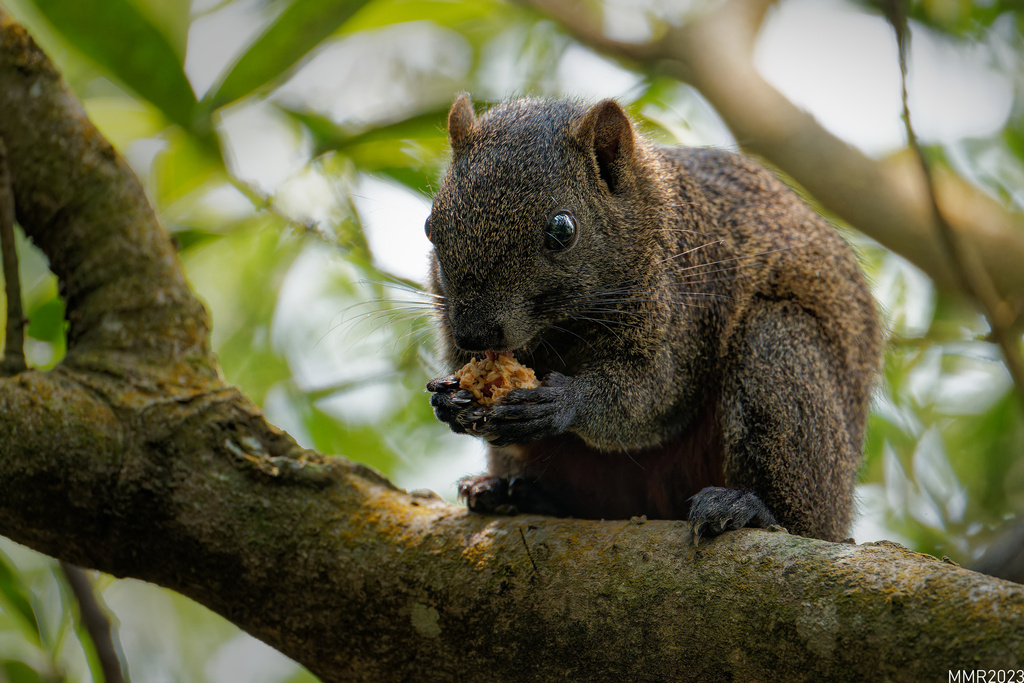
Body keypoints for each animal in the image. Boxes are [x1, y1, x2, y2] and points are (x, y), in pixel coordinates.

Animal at [425, 94, 881, 542]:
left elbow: (652, 395)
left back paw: (750, 508)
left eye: (562, 230)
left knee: (801, 516)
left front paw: (565, 401)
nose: (475, 333)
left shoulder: (683, 310)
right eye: (430, 225)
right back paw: (512, 493)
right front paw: (450, 400)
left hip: (780, 348)